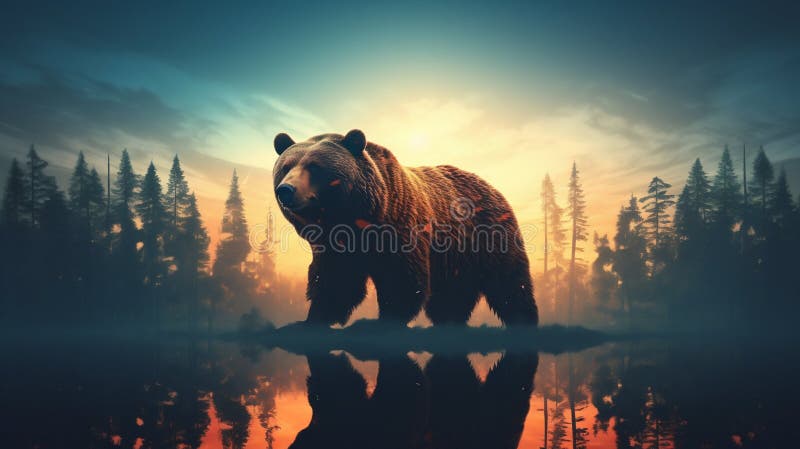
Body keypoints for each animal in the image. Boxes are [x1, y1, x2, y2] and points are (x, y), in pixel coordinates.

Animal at [273, 129, 538, 327]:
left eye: (315, 167)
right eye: (285, 167)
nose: (286, 189)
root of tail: (491, 185)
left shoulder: (401, 227)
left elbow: (401, 280)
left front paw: (381, 323)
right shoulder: (334, 247)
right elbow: (336, 281)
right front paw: (312, 319)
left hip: (489, 236)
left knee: (510, 285)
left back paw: (524, 320)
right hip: (456, 258)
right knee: (451, 297)